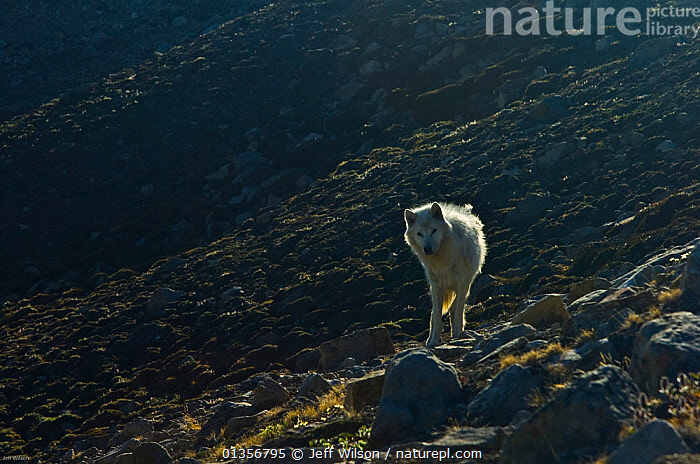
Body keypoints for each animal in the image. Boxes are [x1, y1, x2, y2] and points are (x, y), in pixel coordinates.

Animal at [404, 202, 486, 348]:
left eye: (434, 230)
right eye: (419, 234)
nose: (427, 249)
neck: (442, 259)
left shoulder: (462, 283)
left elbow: (458, 311)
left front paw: (458, 333)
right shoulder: (436, 286)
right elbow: (437, 316)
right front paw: (434, 341)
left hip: (466, 283)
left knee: (455, 308)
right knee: (433, 314)